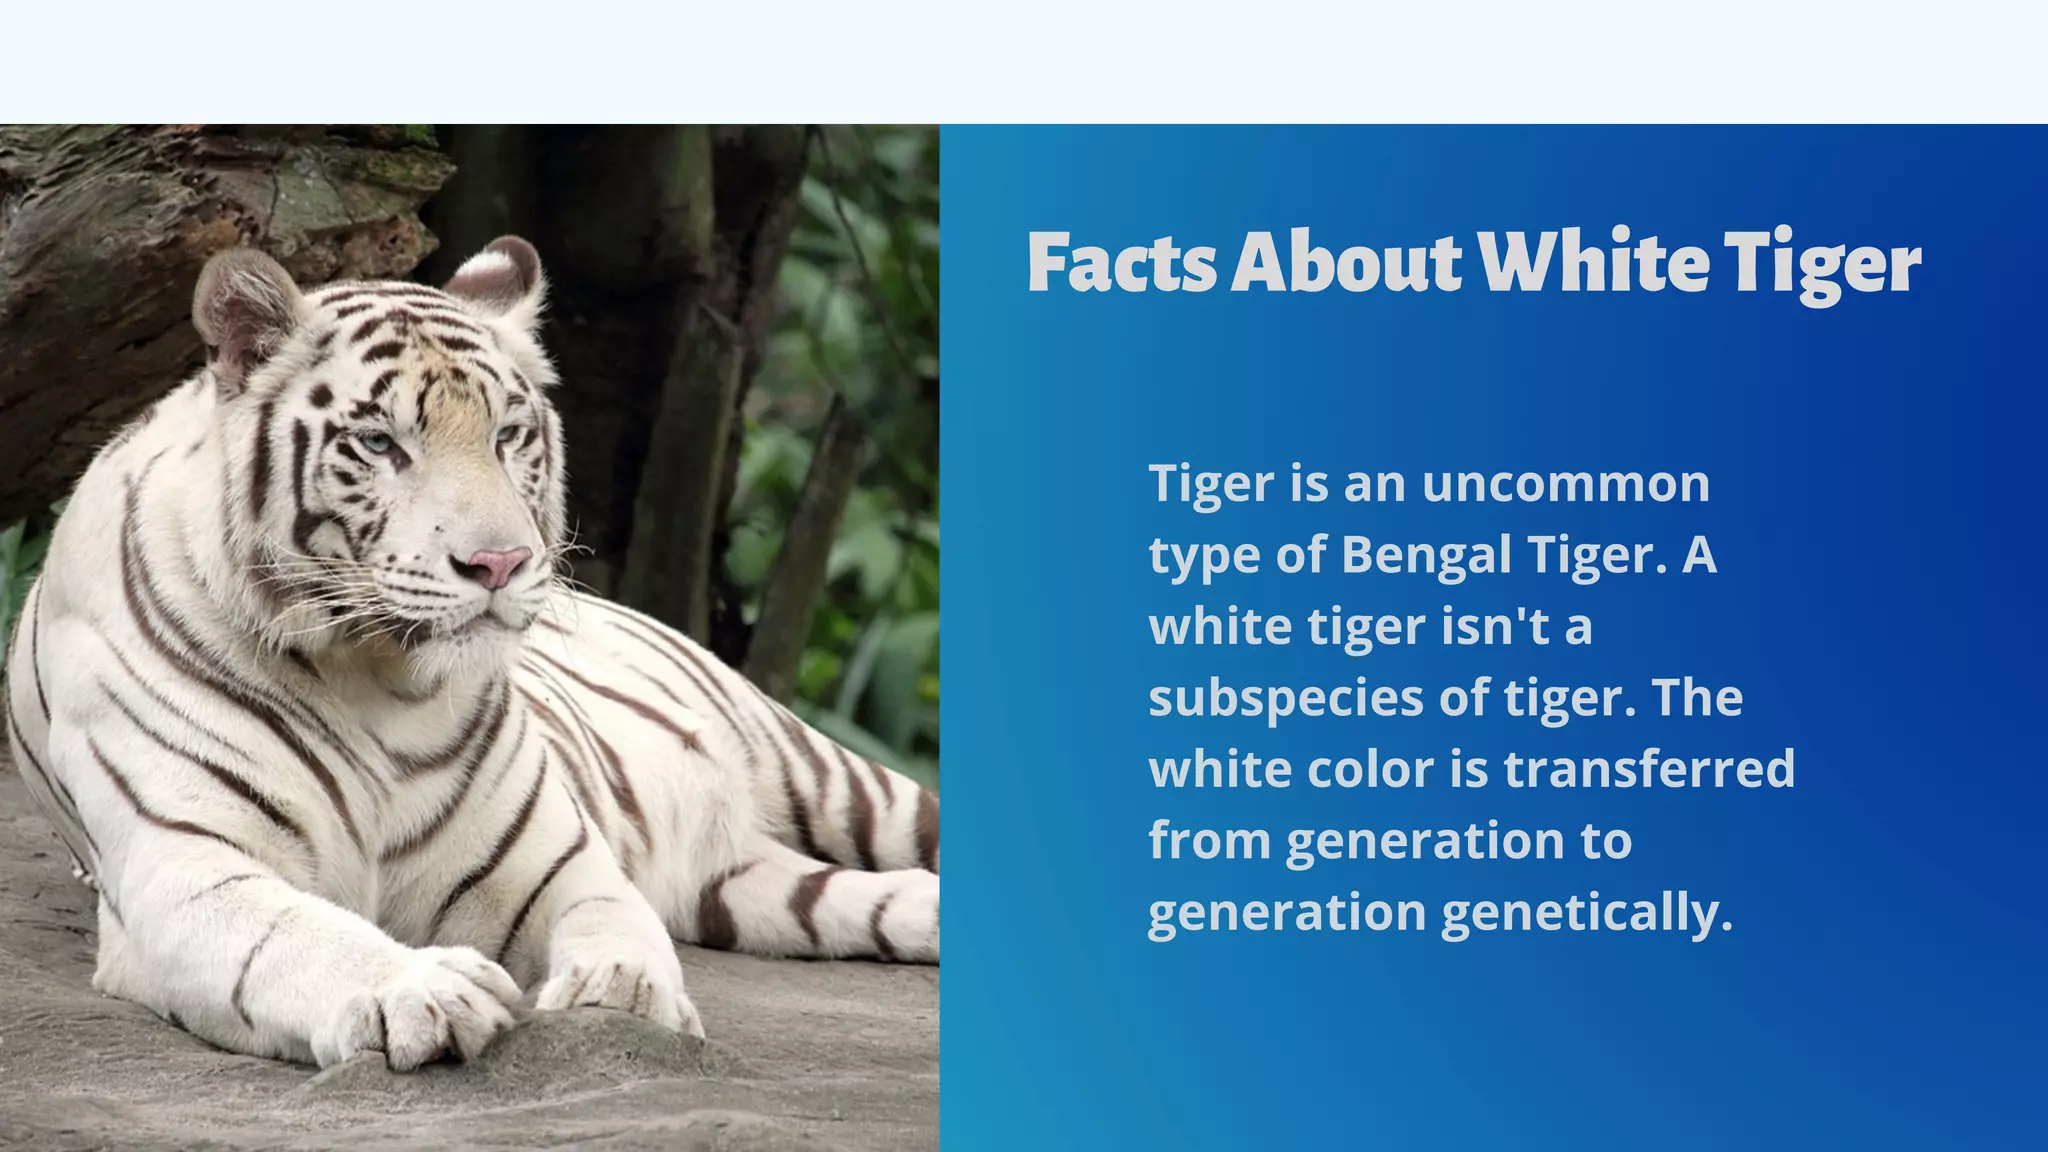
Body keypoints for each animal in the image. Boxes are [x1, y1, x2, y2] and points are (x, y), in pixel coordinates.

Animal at [2, 236, 939, 1072]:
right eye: (380, 444)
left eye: (508, 435)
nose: (500, 563)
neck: (369, 679)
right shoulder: (189, 870)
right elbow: (299, 937)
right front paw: (420, 991)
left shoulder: (552, 863)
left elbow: (612, 919)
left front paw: (623, 992)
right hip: (741, 886)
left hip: (824, 775)